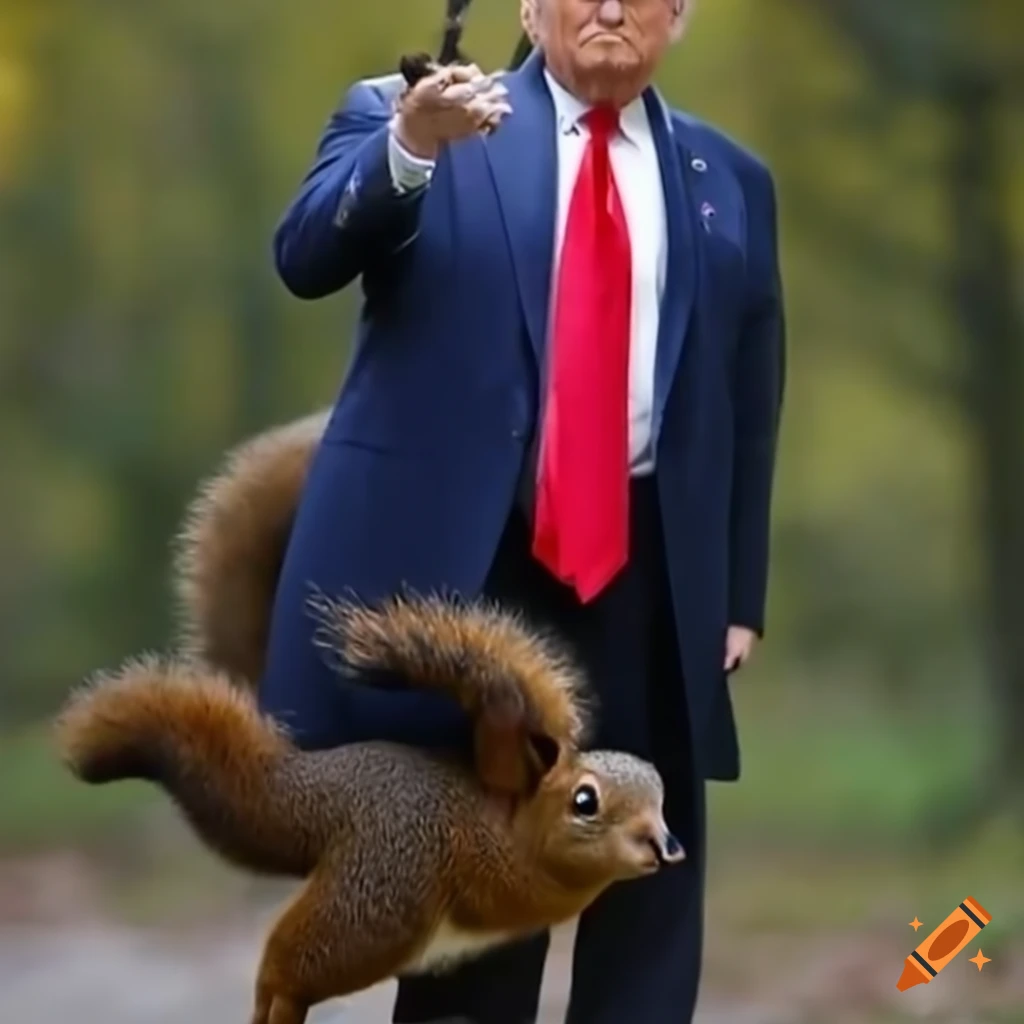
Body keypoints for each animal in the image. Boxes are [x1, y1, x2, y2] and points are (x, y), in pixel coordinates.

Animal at [55, 412, 685, 1024]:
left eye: (660, 791)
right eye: (585, 801)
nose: (662, 845)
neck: (522, 831)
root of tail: (308, 788)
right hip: (374, 906)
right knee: (286, 970)